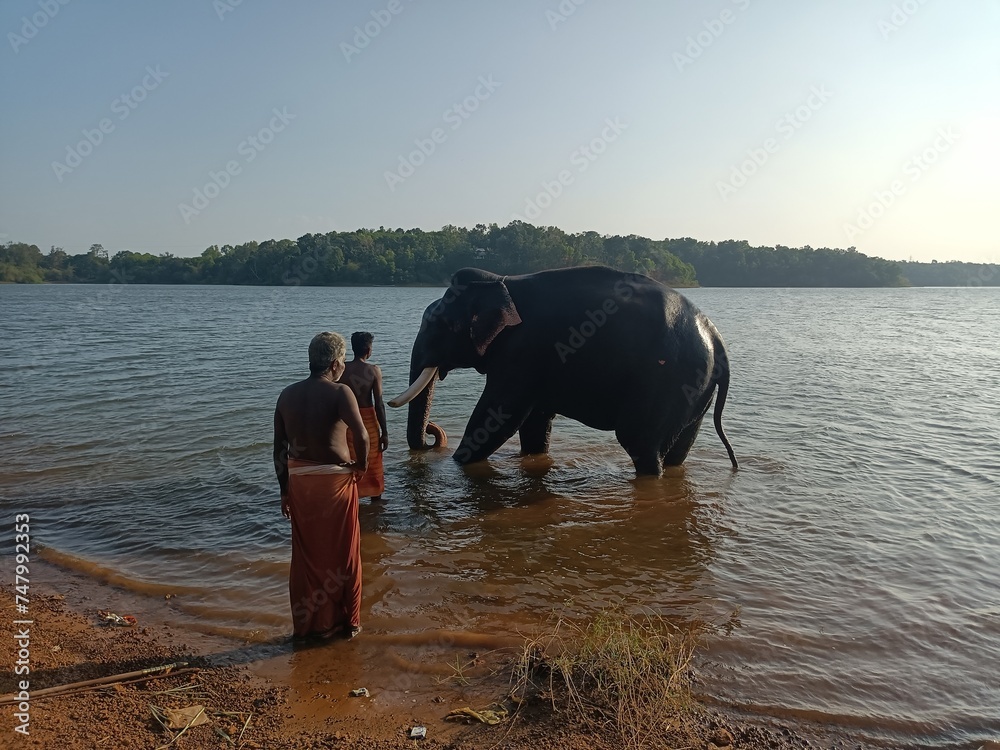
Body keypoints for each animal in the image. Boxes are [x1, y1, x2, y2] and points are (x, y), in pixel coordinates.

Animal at [389, 266, 738, 476]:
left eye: (440, 325)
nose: (432, 432)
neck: (501, 281)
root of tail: (716, 337)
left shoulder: (522, 350)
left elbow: (500, 414)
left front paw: (459, 462)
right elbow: (534, 422)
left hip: (667, 378)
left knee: (638, 441)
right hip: (694, 388)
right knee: (678, 449)